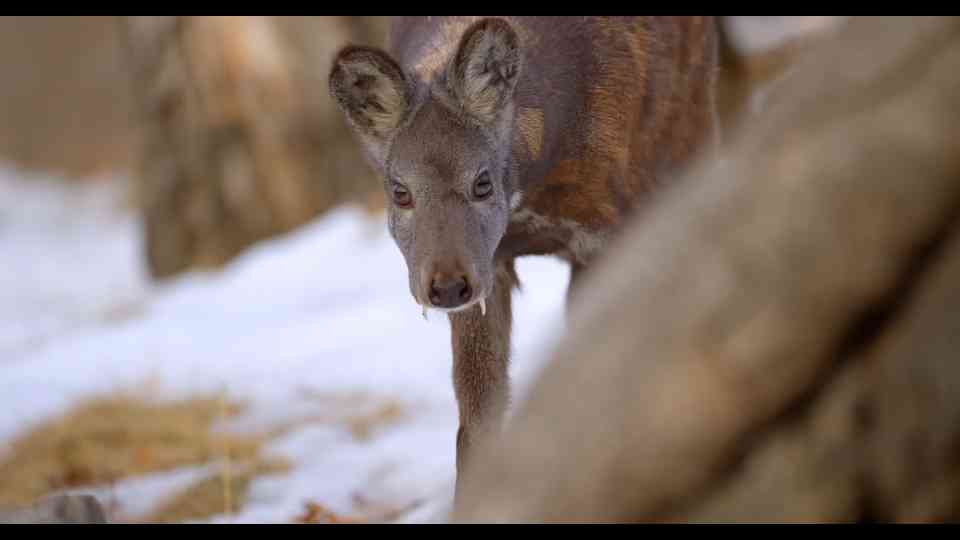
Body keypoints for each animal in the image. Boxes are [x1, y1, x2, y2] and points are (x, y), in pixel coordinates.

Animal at [328, 16, 719, 507]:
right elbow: (476, 422)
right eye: (400, 191)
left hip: (688, 122)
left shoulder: (608, 227)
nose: (446, 287)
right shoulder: (488, 269)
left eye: (481, 182)